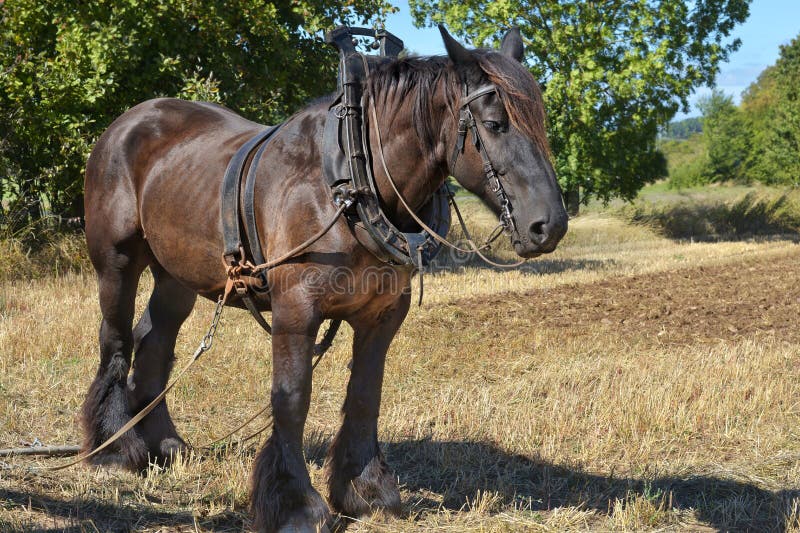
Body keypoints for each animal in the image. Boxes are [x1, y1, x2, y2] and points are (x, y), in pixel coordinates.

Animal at [81, 26, 568, 532]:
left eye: (540, 123)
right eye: (494, 124)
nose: (549, 226)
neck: (349, 184)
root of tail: (128, 121)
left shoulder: (381, 317)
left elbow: (365, 395)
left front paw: (366, 490)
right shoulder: (295, 311)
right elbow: (291, 398)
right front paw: (294, 503)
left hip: (178, 274)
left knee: (154, 340)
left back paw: (165, 446)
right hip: (116, 261)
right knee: (116, 338)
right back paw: (115, 448)